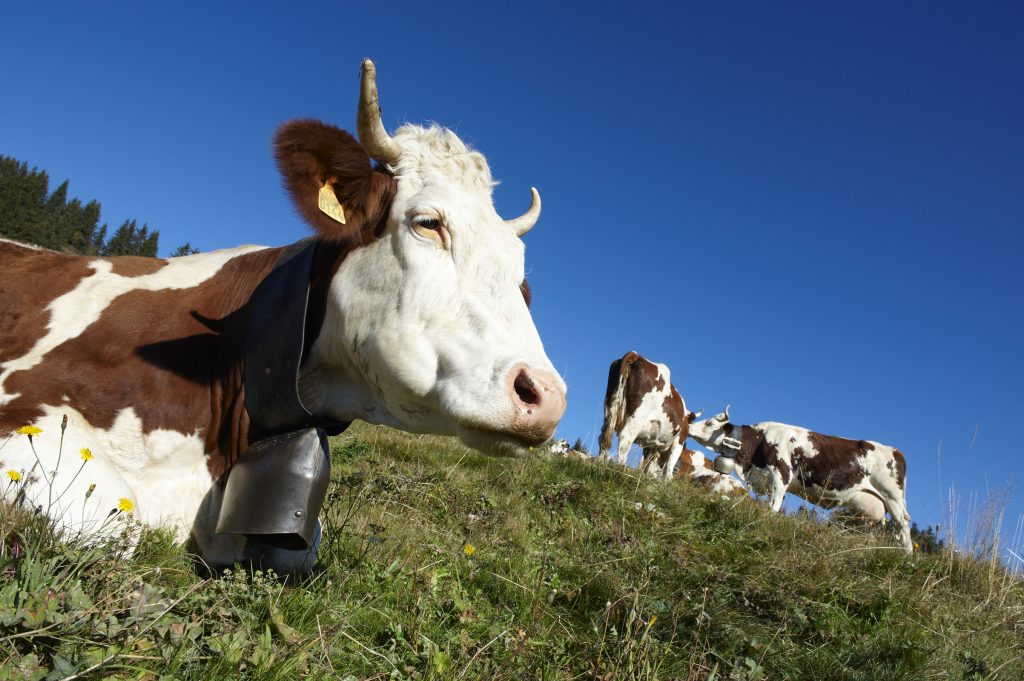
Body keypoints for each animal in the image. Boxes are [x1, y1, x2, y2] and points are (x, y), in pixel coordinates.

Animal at [597, 351, 697, 481]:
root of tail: (636, 355)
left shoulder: (652, 445)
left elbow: (648, 462)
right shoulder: (679, 441)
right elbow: (669, 465)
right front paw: (666, 480)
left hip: (610, 405)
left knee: (604, 437)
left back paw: (600, 464)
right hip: (638, 416)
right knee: (625, 437)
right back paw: (621, 470)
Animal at [688, 407, 912, 551]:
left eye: (709, 422)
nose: (688, 426)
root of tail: (896, 451)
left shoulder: (781, 474)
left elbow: (774, 506)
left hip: (892, 496)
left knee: (903, 525)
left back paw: (907, 556)